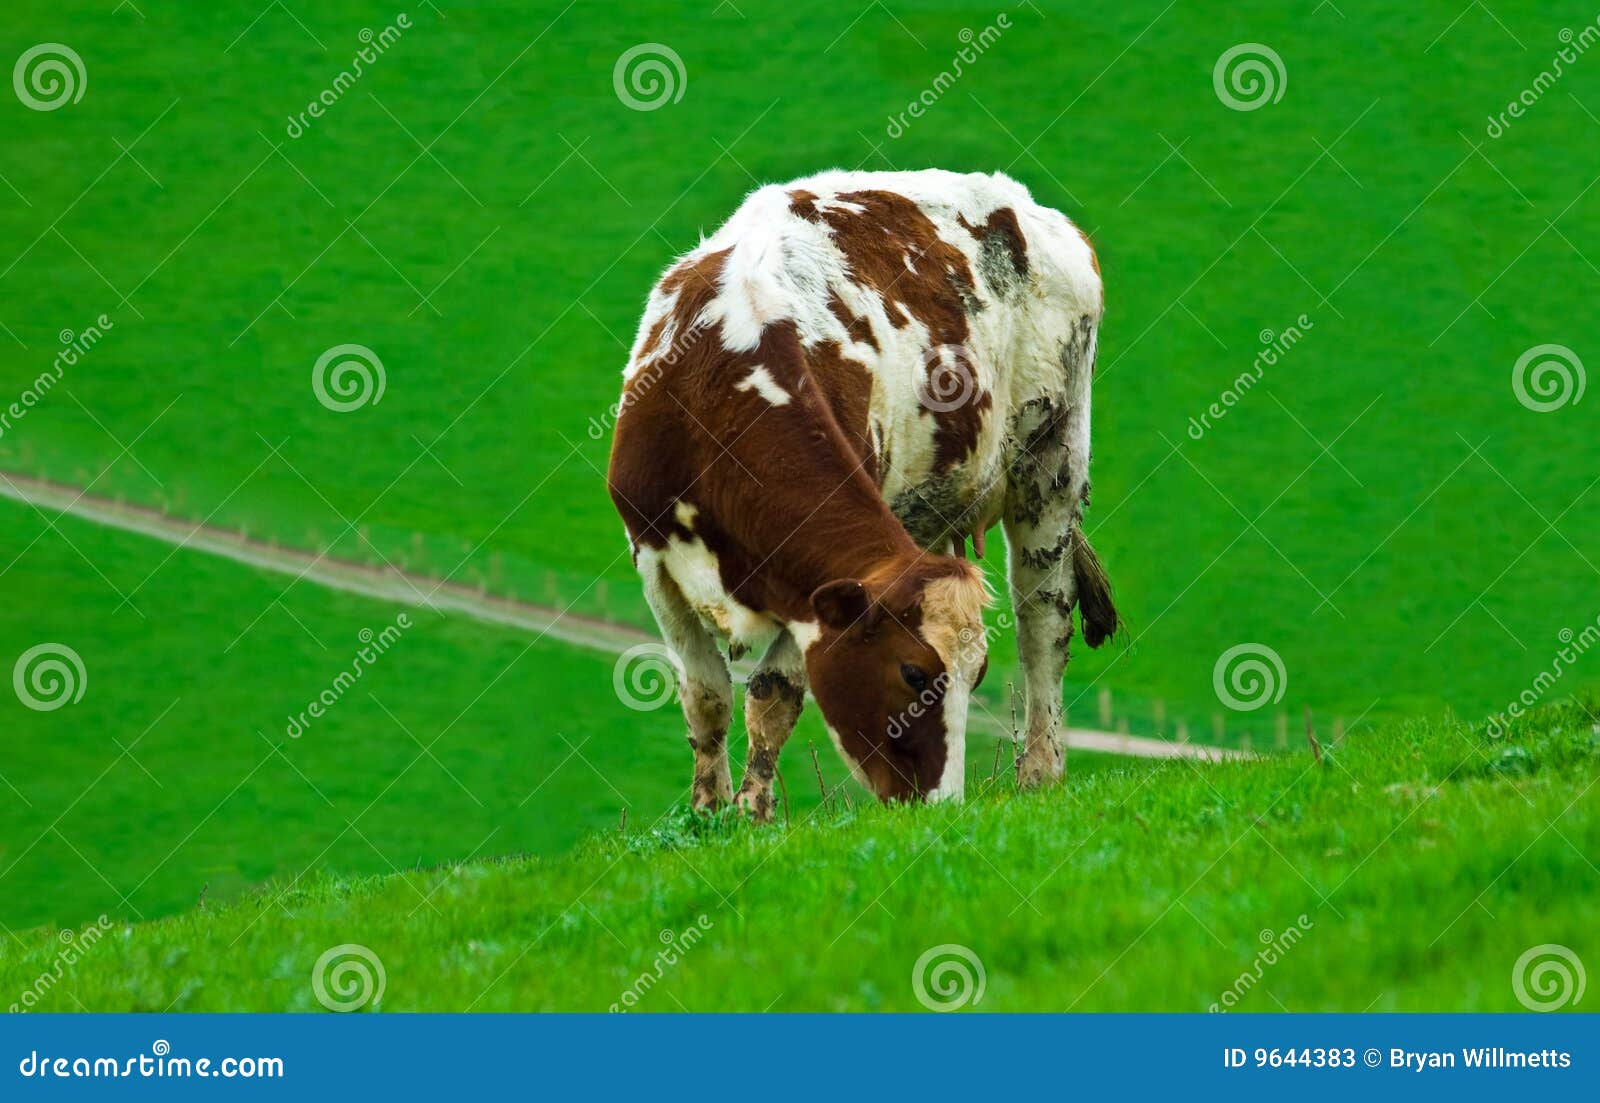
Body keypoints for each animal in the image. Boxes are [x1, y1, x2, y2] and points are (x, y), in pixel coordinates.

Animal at [607, 169, 1117, 819]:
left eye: (974, 677)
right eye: (913, 674)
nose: (941, 805)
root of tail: (1028, 206)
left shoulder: (817, 584)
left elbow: (773, 693)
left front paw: (753, 812)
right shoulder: (651, 554)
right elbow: (705, 694)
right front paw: (710, 811)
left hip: (1053, 459)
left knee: (1043, 622)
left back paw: (1040, 772)